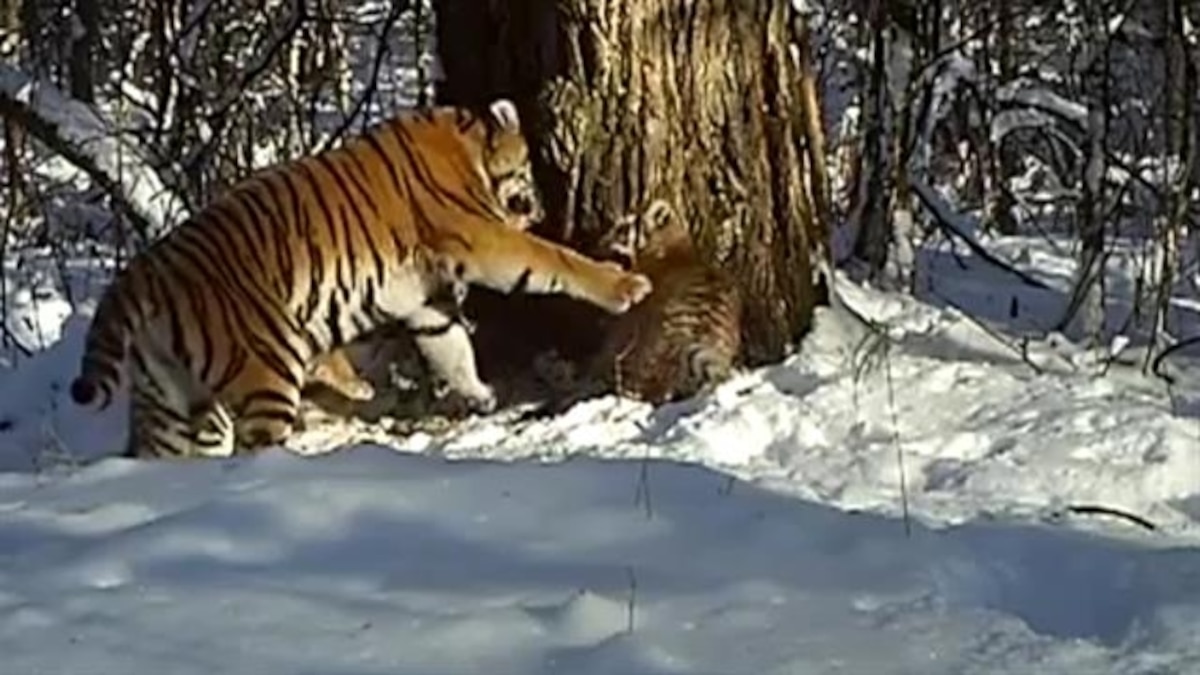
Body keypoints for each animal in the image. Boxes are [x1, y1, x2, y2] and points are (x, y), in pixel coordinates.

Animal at [69, 97, 653, 459]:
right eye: (529, 164)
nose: (541, 205)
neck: (466, 144)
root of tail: (138, 276)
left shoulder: (423, 297)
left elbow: (450, 344)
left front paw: (480, 395)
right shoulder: (484, 239)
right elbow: (554, 261)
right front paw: (624, 286)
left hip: (171, 406)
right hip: (266, 365)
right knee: (257, 447)